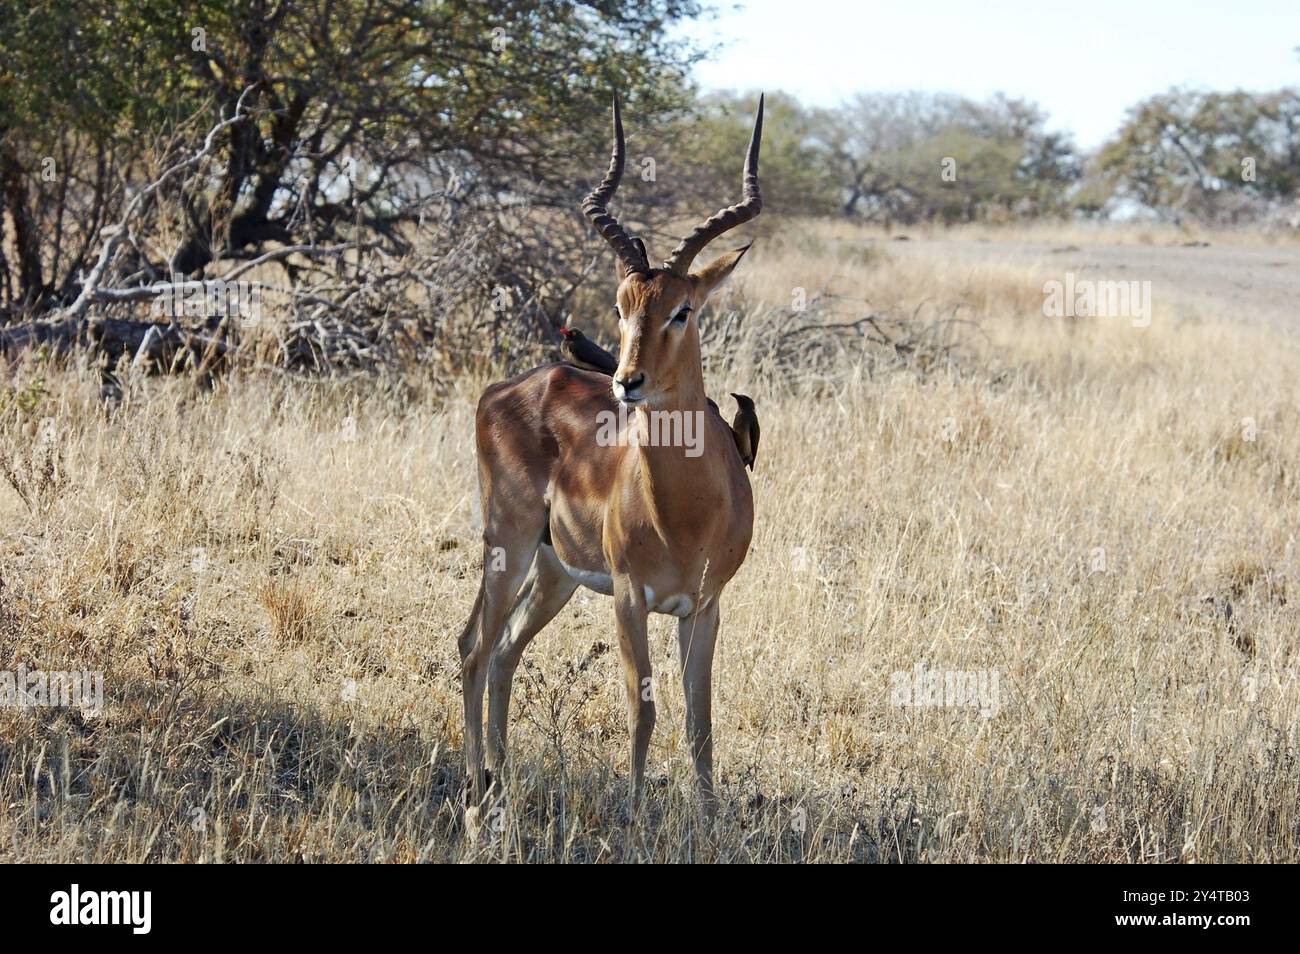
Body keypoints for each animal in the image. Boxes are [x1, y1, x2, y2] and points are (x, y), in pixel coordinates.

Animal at [457, 93, 764, 818]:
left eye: (683, 309)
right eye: (623, 306)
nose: (628, 380)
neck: (686, 512)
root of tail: (508, 386)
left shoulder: (704, 606)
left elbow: (700, 719)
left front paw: (707, 817)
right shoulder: (629, 597)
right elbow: (642, 710)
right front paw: (633, 807)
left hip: (554, 571)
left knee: (503, 651)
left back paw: (502, 778)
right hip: (508, 543)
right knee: (473, 648)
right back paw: (476, 790)